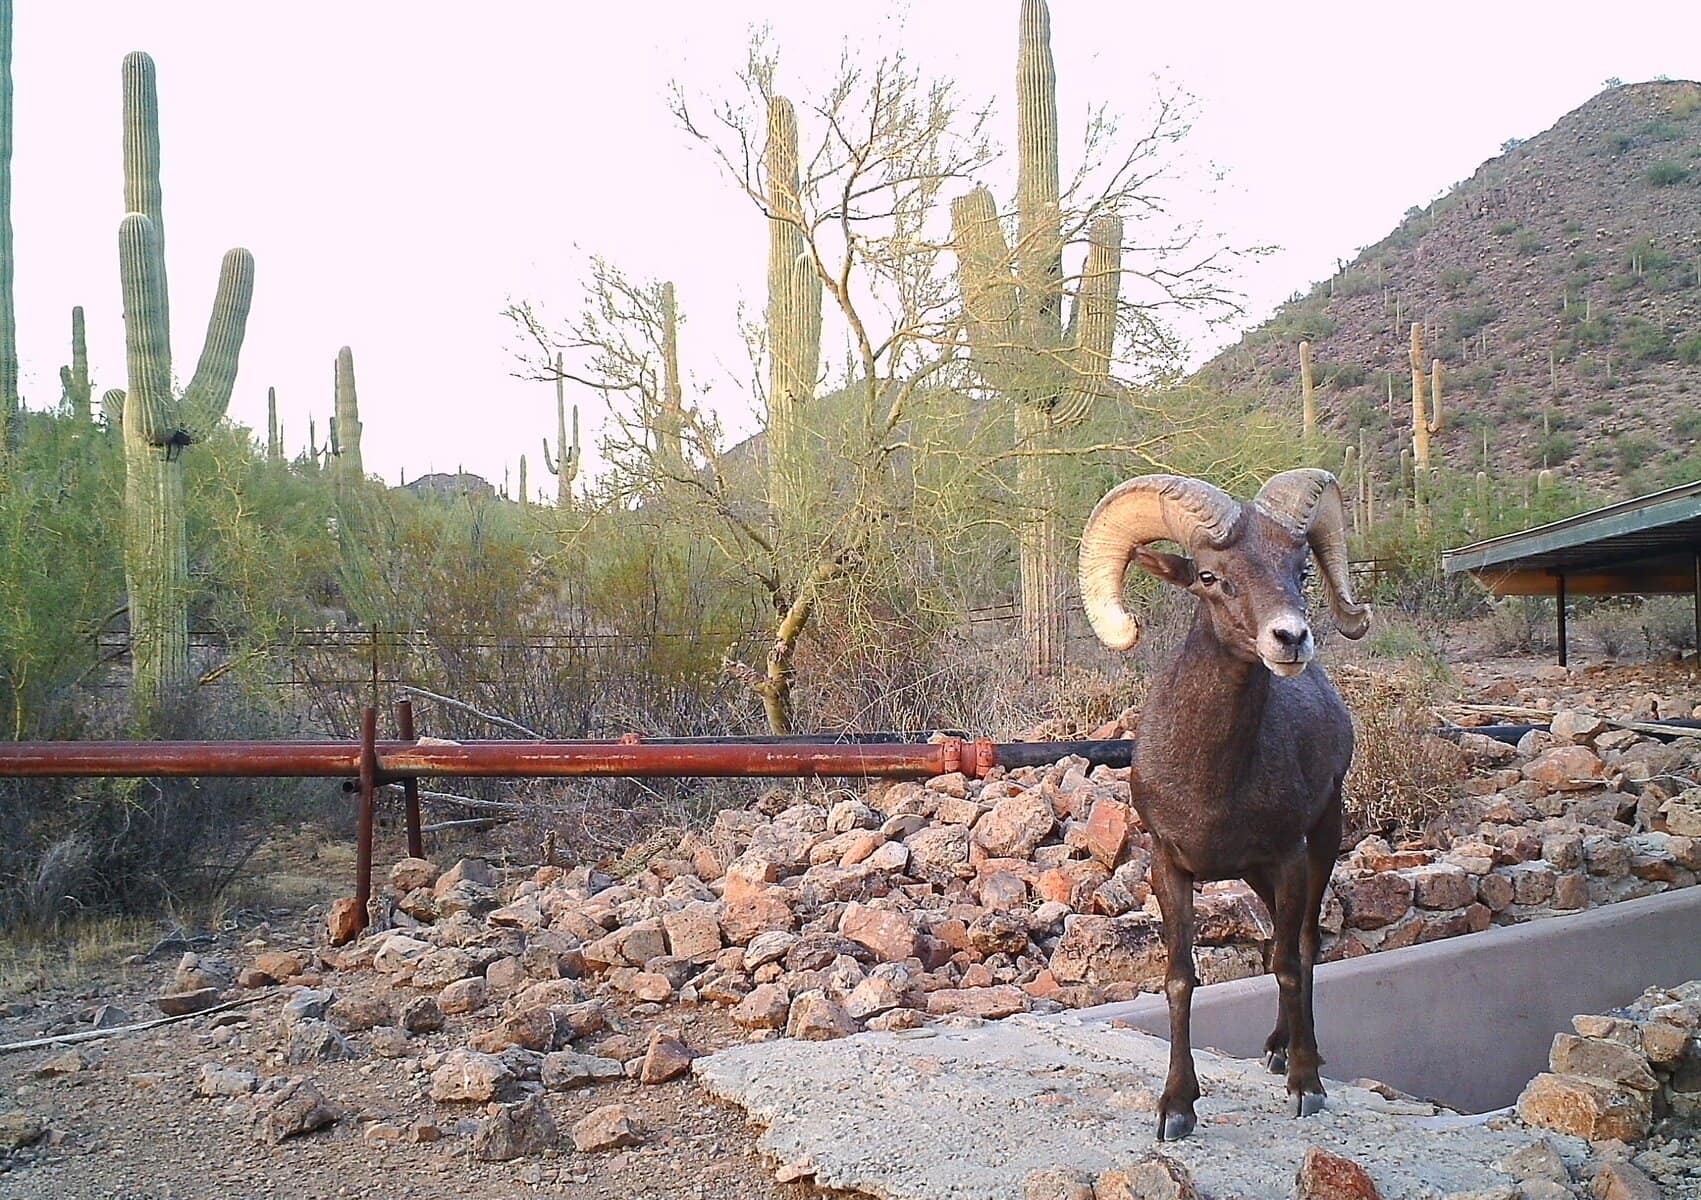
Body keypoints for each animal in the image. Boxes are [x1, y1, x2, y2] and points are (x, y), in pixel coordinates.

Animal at [1076, 468, 1370, 1142]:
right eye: (1210, 577)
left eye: (1301, 570)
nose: (1290, 638)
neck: (1213, 783)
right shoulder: (1171, 870)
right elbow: (1180, 979)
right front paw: (1177, 1107)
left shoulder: (1287, 858)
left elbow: (1287, 962)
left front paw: (1306, 1088)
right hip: (1257, 876)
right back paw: (1278, 1046)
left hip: (1321, 840)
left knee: (1305, 942)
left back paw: (1295, 1053)